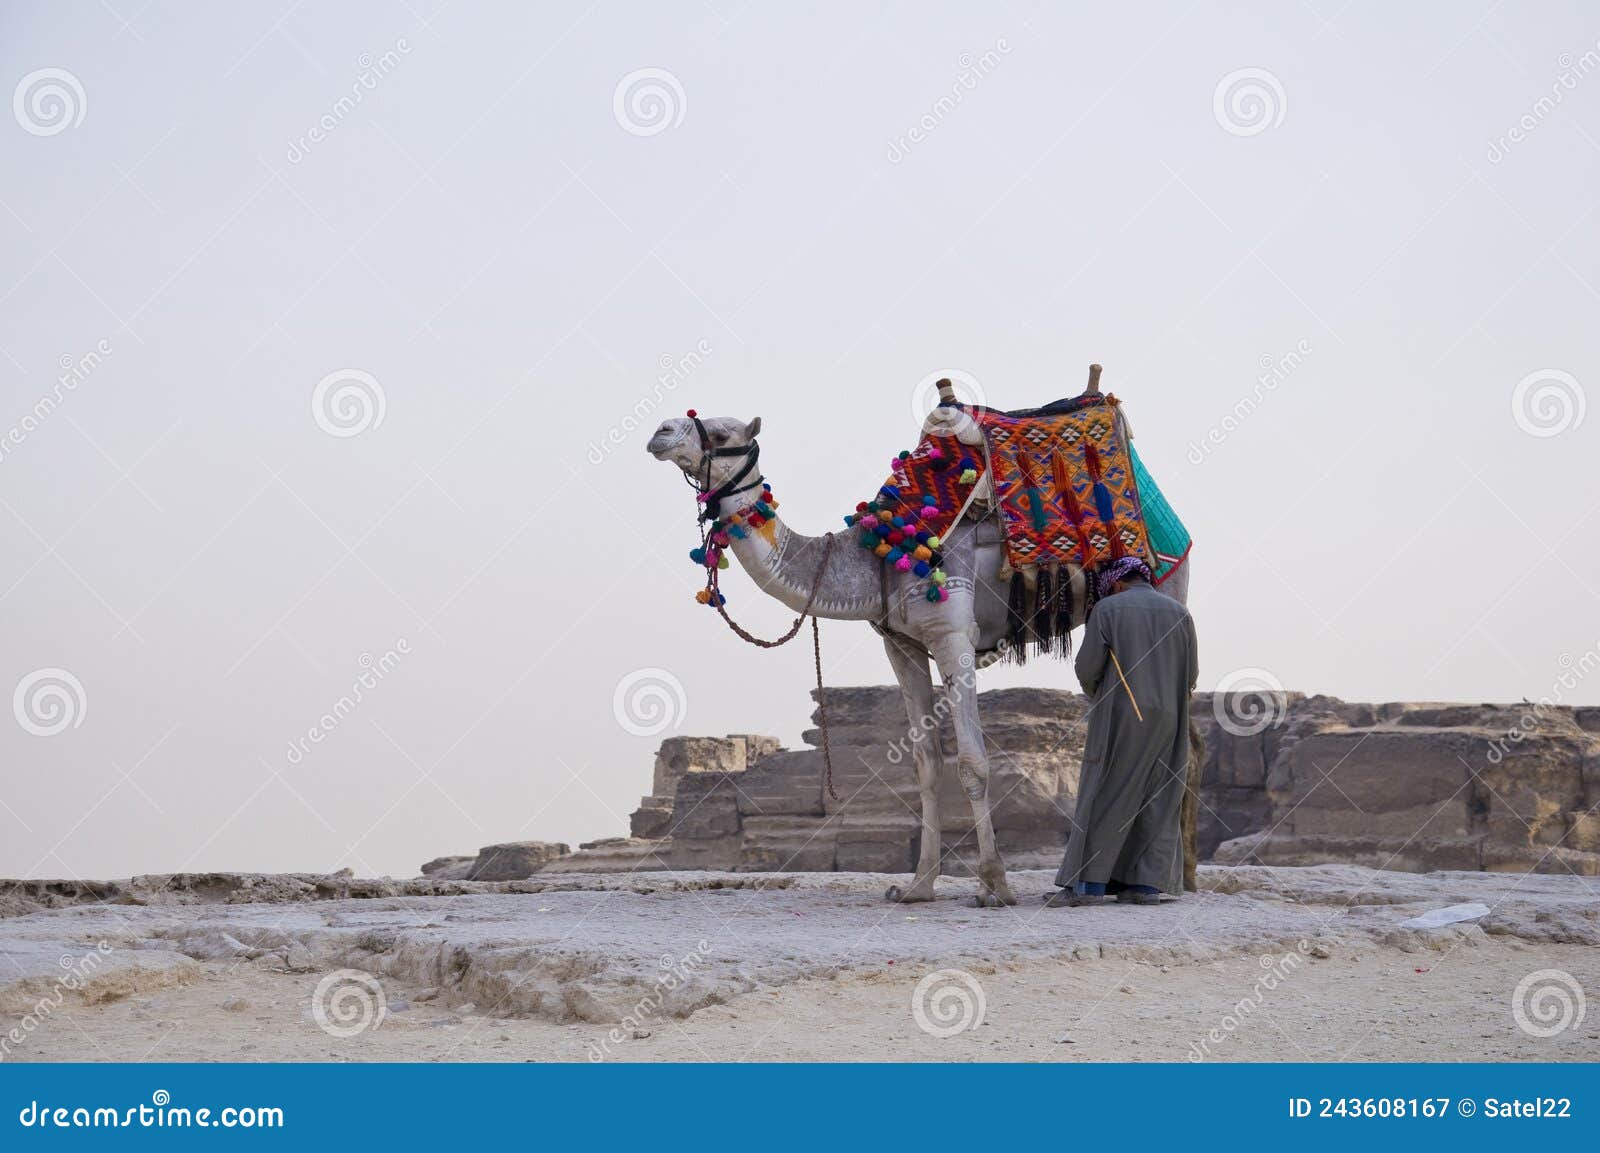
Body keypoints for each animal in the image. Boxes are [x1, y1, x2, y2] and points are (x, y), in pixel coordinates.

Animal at [647, 373, 1199, 908]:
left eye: (722, 434)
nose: (660, 431)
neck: (881, 554)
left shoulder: (954, 635)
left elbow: (973, 763)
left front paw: (994, 885)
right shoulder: (902, 645)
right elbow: (927, 766)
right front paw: (918, 886)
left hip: (1169, 581)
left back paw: (1166, 881)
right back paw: (1171, 877)